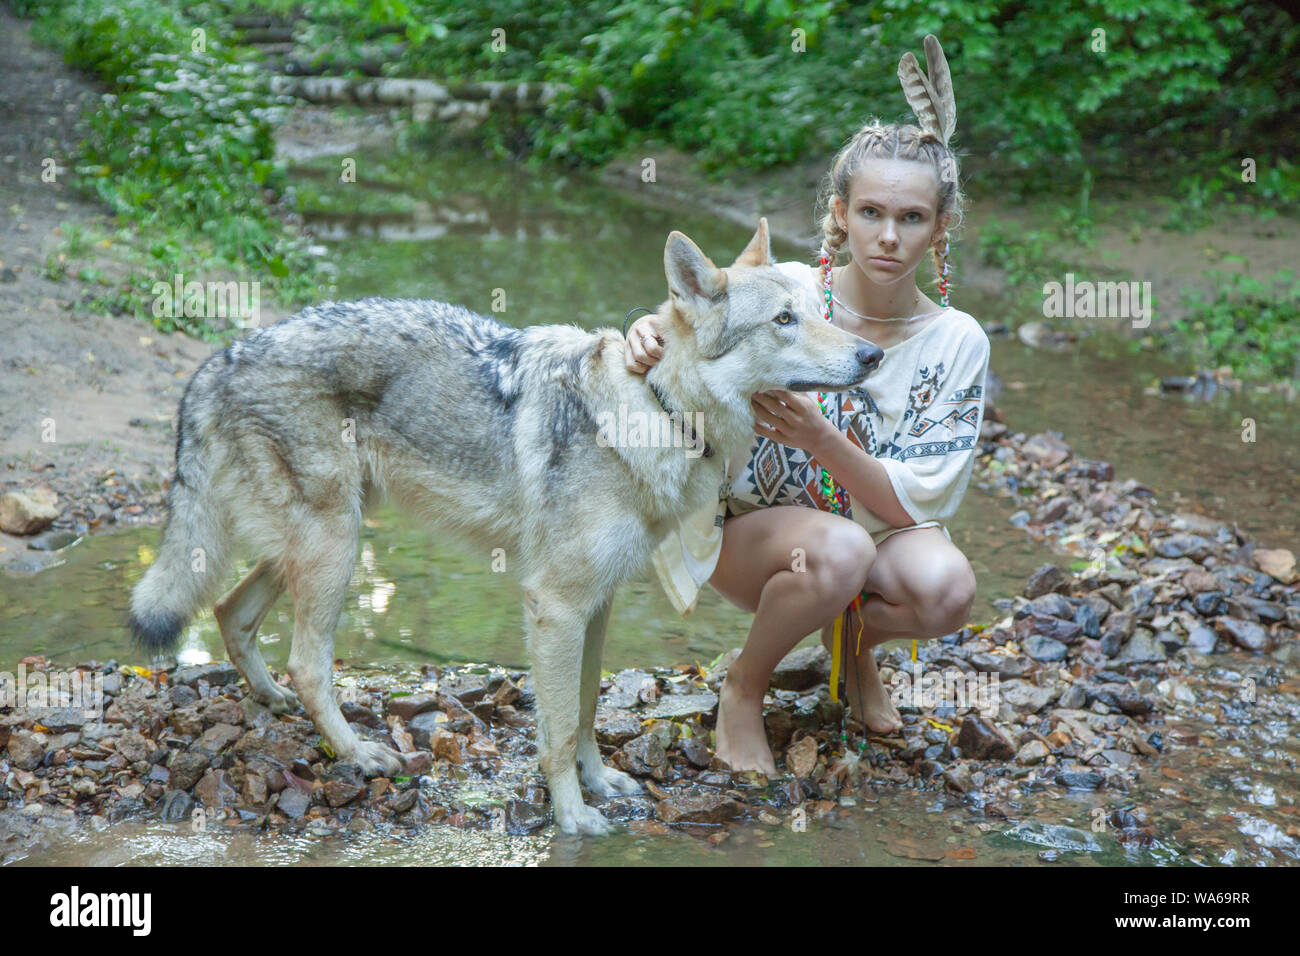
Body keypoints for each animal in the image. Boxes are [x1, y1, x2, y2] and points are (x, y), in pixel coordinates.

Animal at [128, 219, 883, 834]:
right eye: (784, 319)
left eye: (817, 311)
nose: (872, 355)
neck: (656, 404)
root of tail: (219, 357)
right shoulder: (555, 606)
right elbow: (556, 730)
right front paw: (573, 816)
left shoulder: (597, 607)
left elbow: (585, 709)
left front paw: (600, 783)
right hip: (334, 546)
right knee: (307, 662)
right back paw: (358, 753)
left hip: (324, 537)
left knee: (230, 611)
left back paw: (274, 702)